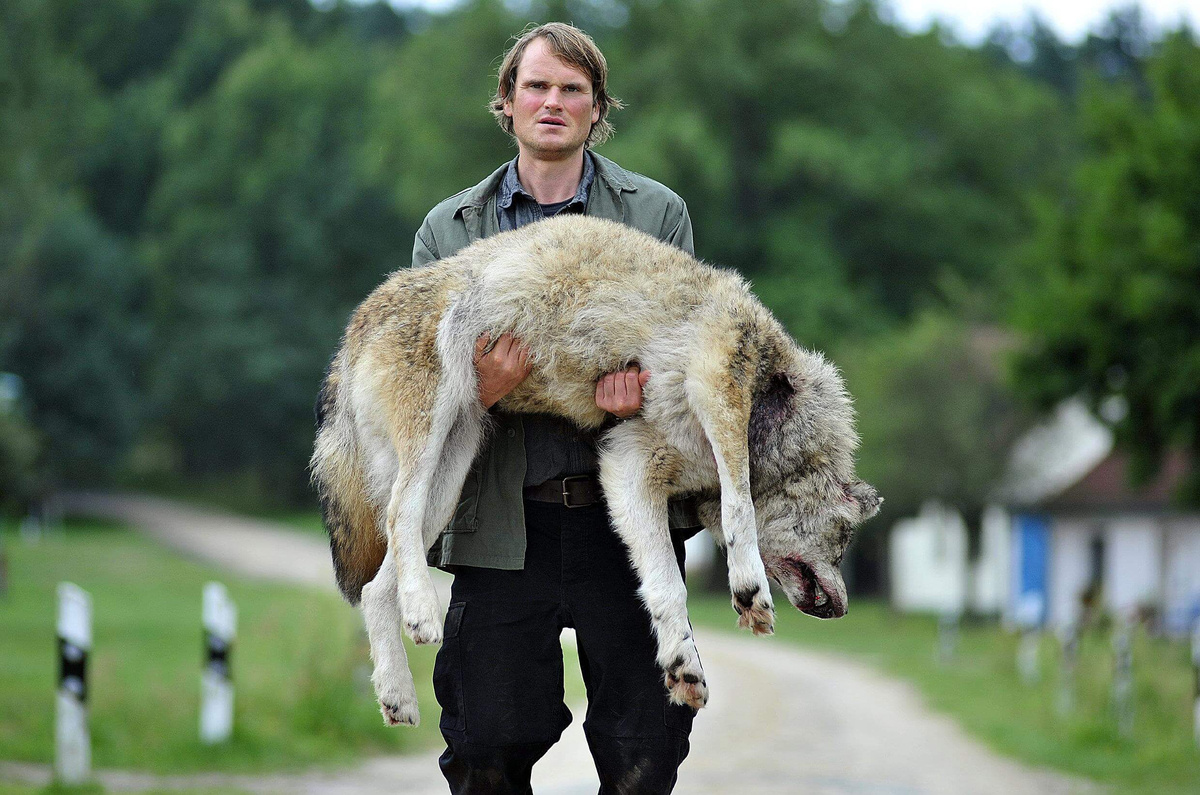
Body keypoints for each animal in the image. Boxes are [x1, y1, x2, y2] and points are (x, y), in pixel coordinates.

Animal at [311, 214, 881, 726]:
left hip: (452, 468)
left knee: (373, 590)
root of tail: (355, 324)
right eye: (845, 540)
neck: (780, 414)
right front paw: (749, 592)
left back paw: (397, 697)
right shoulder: (722, 383)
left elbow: (667, 587)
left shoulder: (628, 465)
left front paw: (685, 670)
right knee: (397, 518)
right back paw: (423, 612)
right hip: (430, 438)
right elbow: (739, 506)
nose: (843, 610)